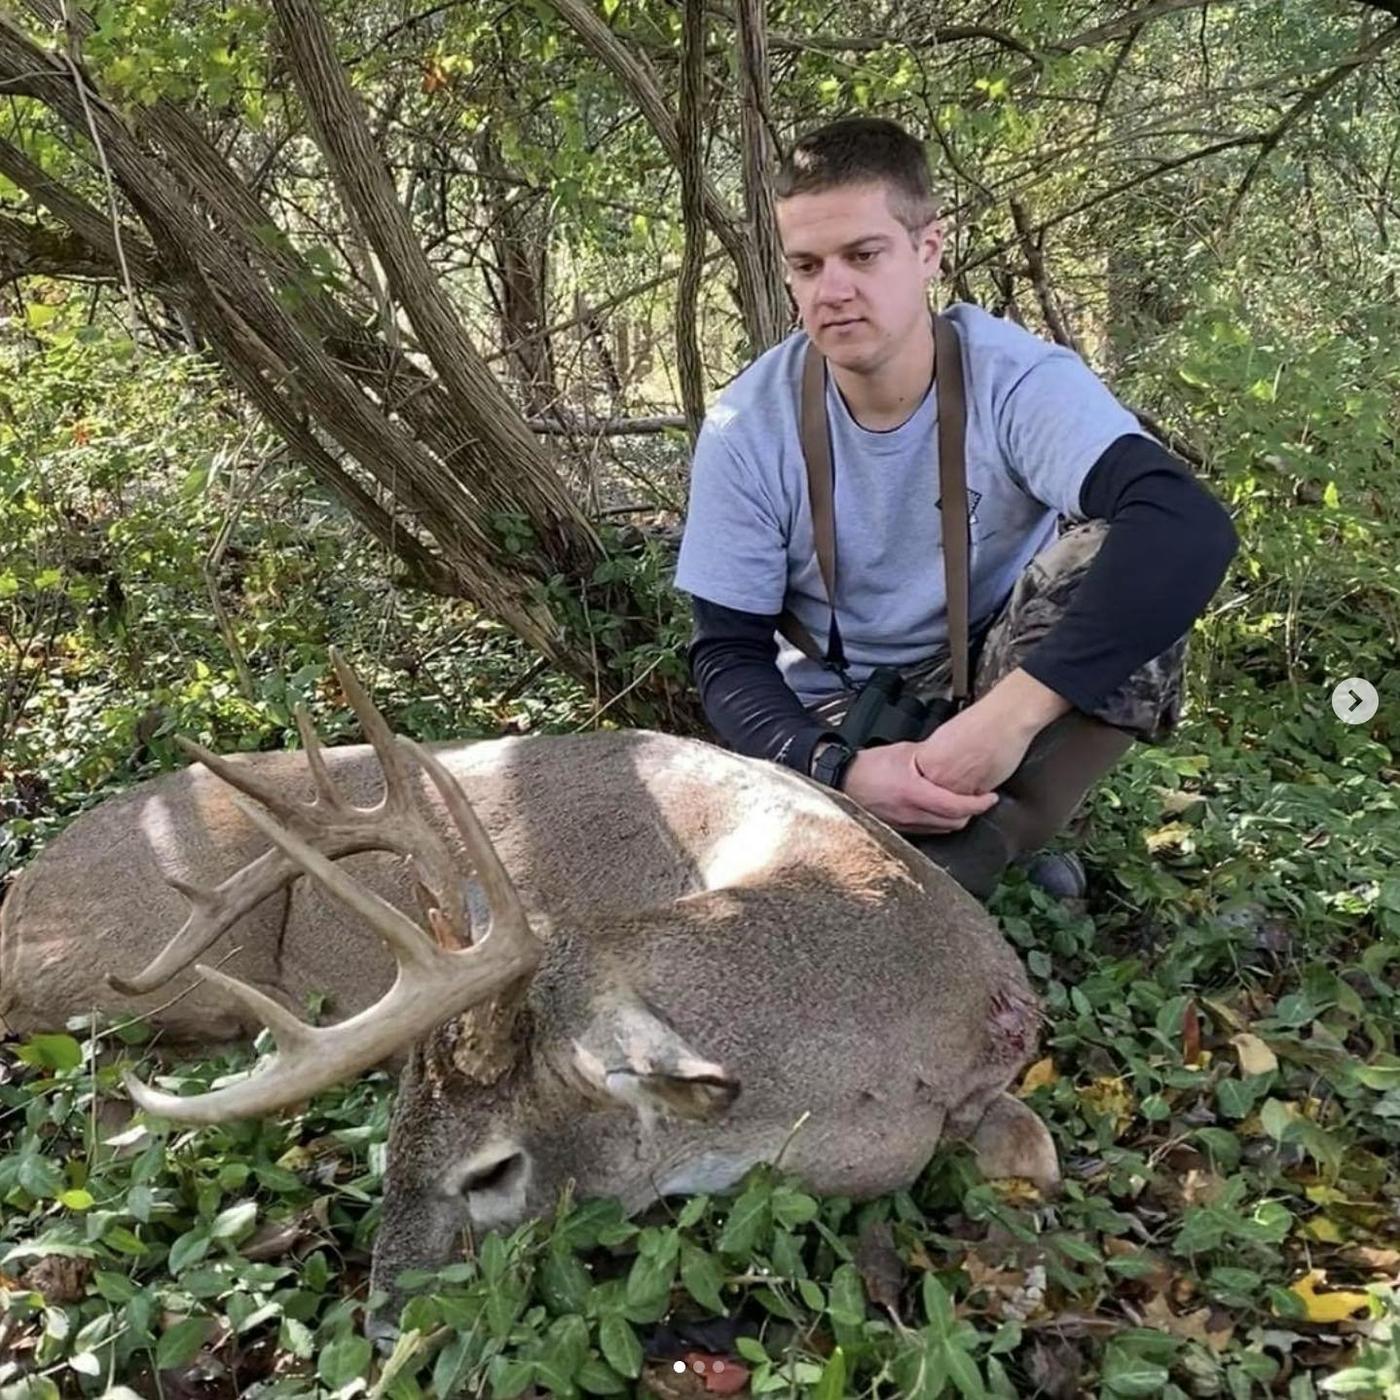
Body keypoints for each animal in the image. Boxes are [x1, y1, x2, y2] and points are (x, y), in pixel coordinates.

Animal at [1, 653, 1059, 1310]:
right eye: (393, 1141)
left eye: (492, 1171)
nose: (384, 1319)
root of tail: (17, 901)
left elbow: (1035, 1153)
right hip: (164, 984)